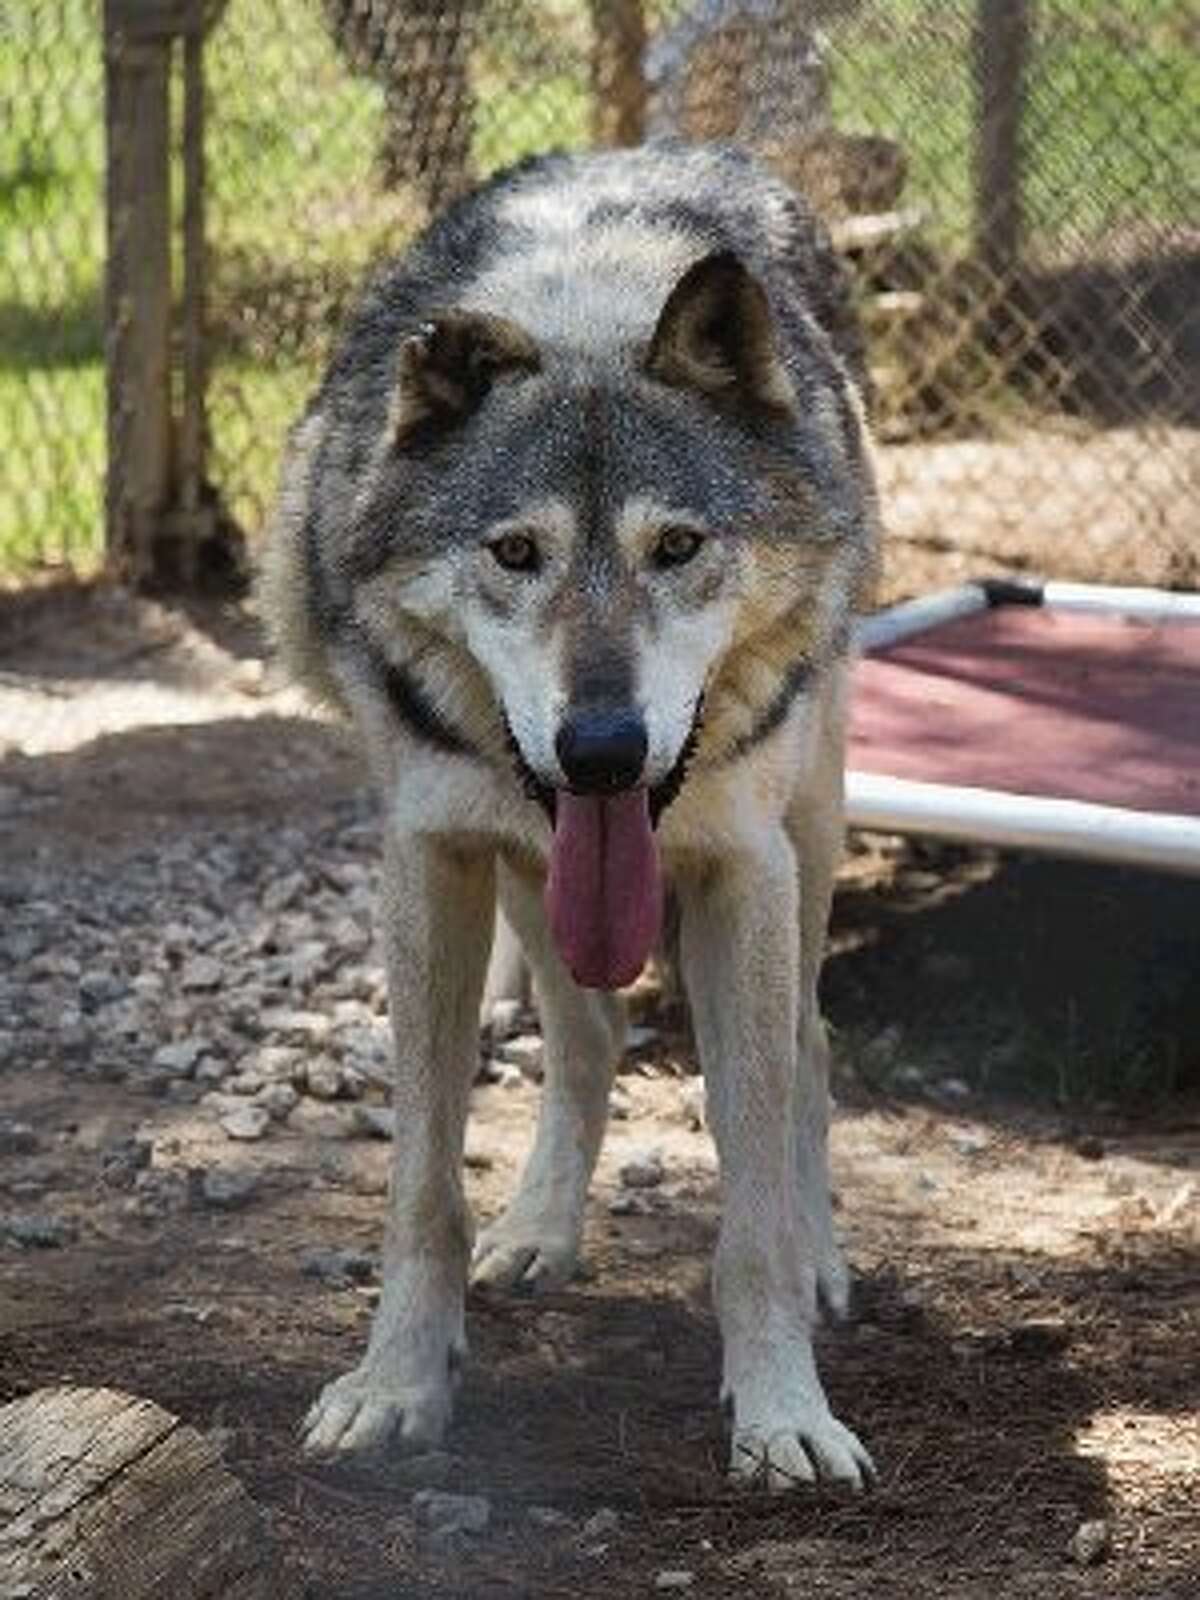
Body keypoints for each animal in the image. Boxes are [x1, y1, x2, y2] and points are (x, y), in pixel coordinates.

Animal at [262, 143, 880, 1490]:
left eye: (679, 546)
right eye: (515, 552)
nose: (604, 751)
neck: (585, 312)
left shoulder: (743, 868)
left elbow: (751, 1199)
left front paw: (782, 1407)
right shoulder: (431, 858)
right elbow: (422, 1186)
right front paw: (396, 1386)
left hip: (808, 829)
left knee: (811, 1048)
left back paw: (821, 1258)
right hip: (522, 861)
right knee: (590, 1036)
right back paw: (542, 1226)